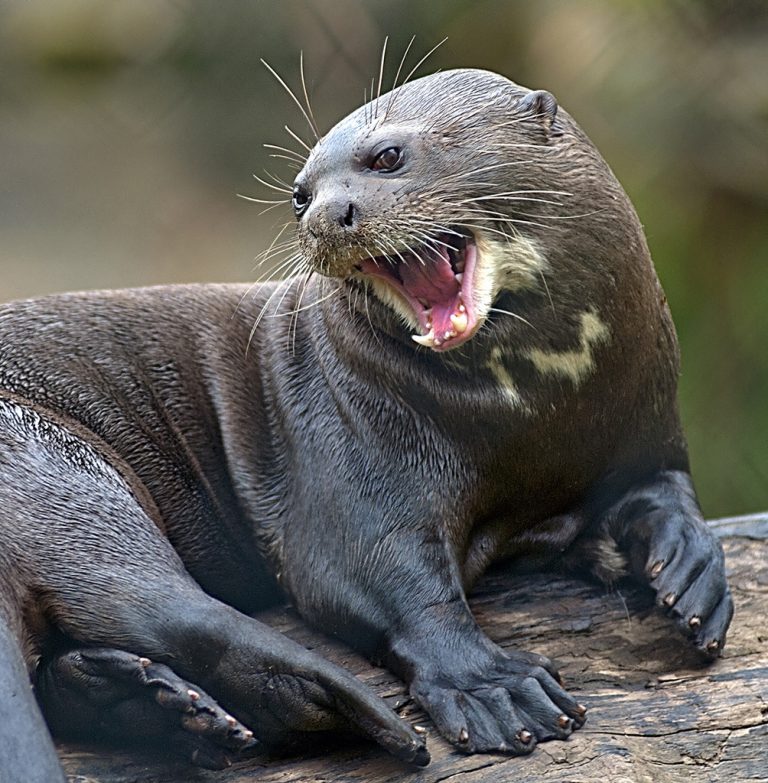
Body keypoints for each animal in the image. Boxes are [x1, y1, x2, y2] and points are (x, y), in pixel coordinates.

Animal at [0, 69, 732, 781]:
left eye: (387, 156)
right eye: (300, 195)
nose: (327, 214)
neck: (535, 422)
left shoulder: (641, 431)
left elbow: (665, 491)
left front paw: (692, 570)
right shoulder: (348, 447)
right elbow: (384, 579)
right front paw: (491, 685)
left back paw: (156, 703)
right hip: (59, 467)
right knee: (169, 608)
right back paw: (350, 711)